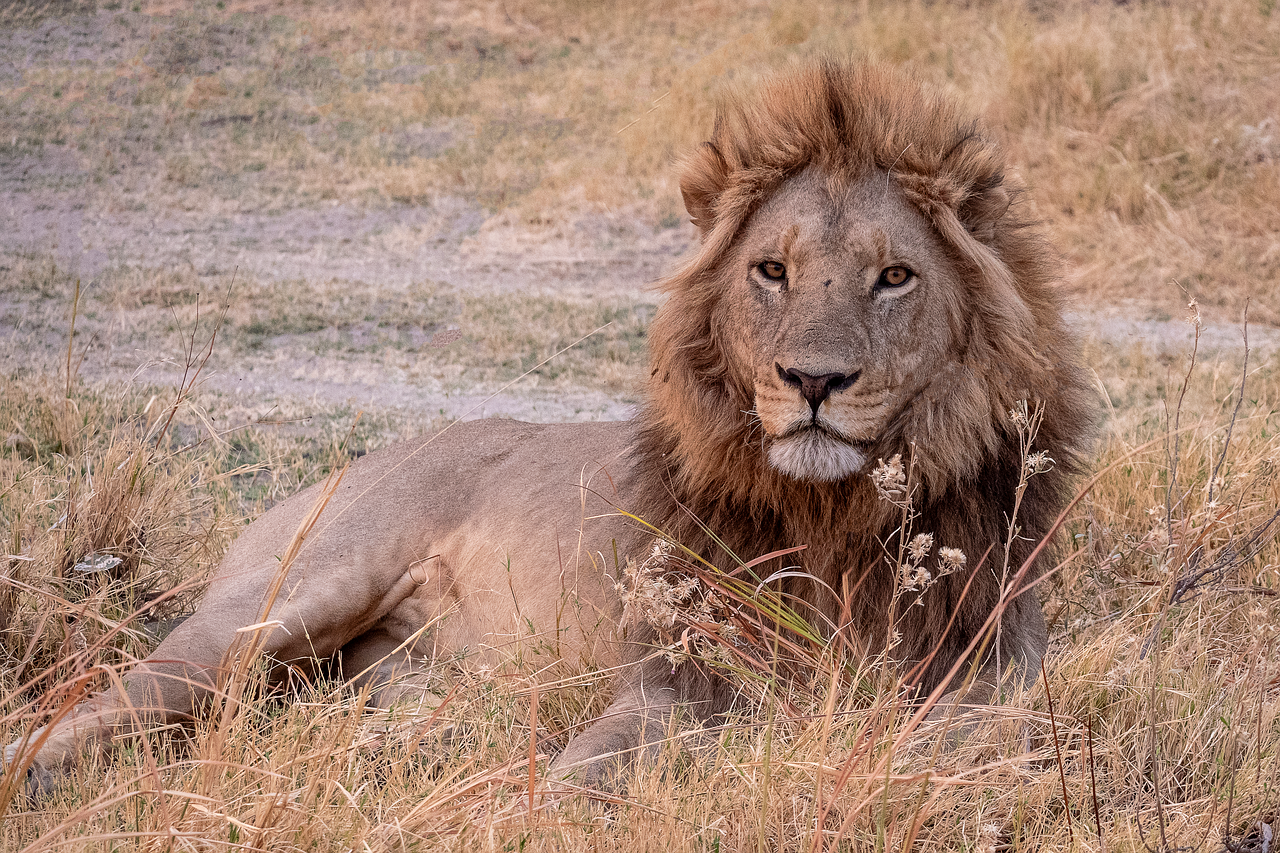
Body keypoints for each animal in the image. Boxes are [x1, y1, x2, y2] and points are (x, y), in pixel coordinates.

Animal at [4, 62, 1093, 794]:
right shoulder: (672, 678)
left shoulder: (989, 684)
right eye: (771, 270)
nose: (812, 381)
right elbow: (586, 769)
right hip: (279, 602)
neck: (830, 518)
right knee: (112, 704)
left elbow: (971, 743)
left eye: (893, 275)